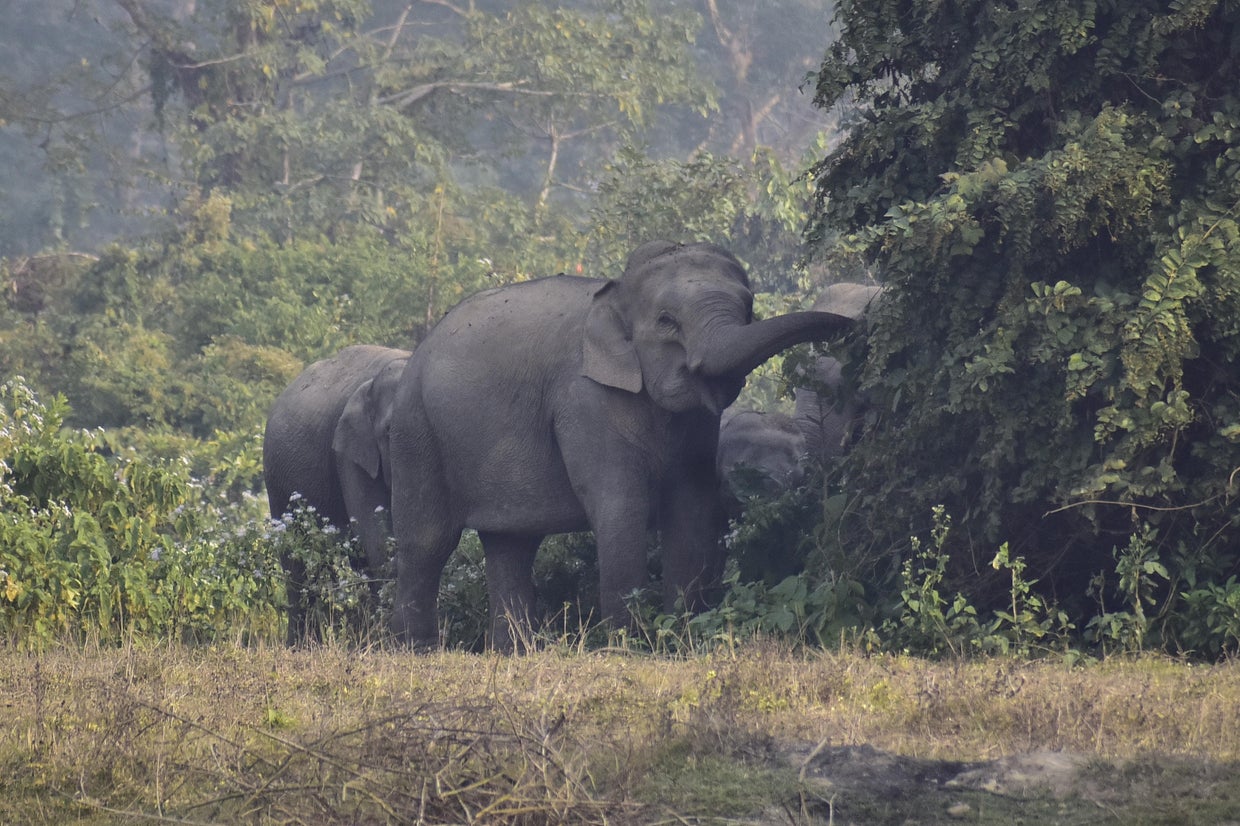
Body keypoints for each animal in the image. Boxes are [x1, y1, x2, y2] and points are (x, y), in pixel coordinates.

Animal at [263, 344, 410, 641]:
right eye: (390, 430)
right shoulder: (350, 453)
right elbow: (376, 535)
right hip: (277, 477)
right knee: (296, 558)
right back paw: (302, 643)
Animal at [384, 241, 855, 648]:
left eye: (749, 308)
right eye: (666, 321)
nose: (853, 327)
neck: (616, 293)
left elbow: (691, 506)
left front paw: (678, 639)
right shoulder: (582, 398)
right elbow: (620, 504)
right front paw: (627, 646)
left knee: (511, 544)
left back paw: (513, 652)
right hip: (415, 429)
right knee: (427, 542)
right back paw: (418, 650)